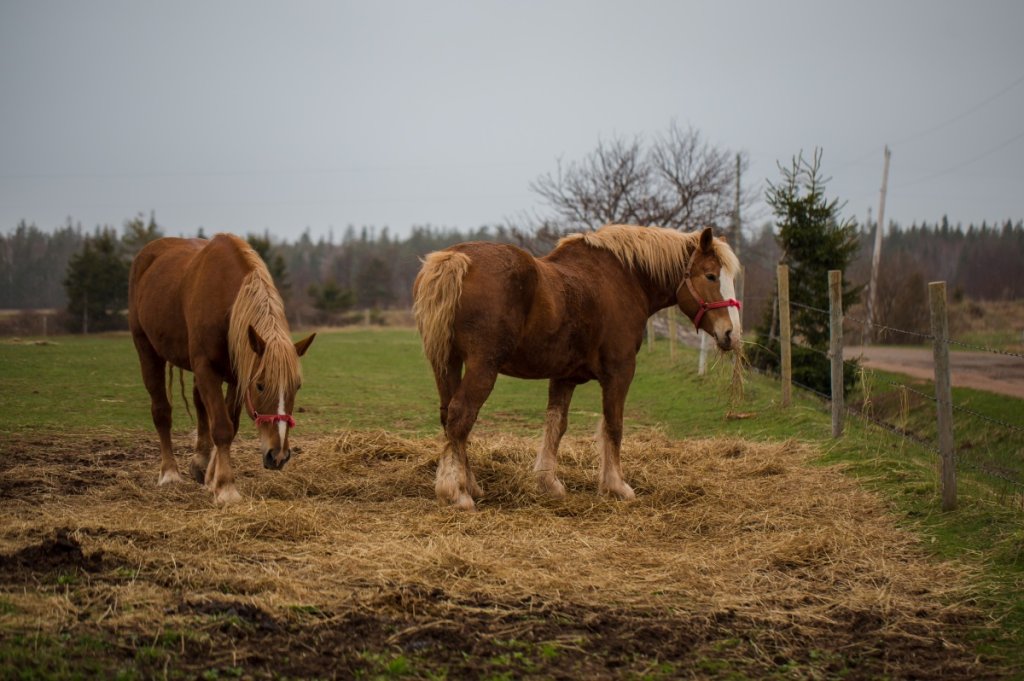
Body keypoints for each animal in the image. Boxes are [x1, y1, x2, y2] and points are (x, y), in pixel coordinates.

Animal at [128, 233, 315, 504]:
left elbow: (230, 424)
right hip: (147, 350)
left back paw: (200, 462)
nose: (278, 456)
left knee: (198, 403)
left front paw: (212, 478)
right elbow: (222, 427)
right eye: (261, 385)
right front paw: (226, 488)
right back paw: (169, 473)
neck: (227, 305)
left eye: (297, 386)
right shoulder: (208, 369)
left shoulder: (238, 376)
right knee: (162, 411)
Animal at [412, 224, 741, 510]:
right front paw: (616, 485)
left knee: (450, 418)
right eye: (711, 276)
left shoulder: (564, 377)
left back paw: (470, 485)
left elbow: (556, 425)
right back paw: (456, 492)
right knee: (461, 417)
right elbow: (613, 426)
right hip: (483, 367)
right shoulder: (620, 372)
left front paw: (549, 483)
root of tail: (456, 259)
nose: (731, 334)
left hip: (447, 364)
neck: (624, 279)